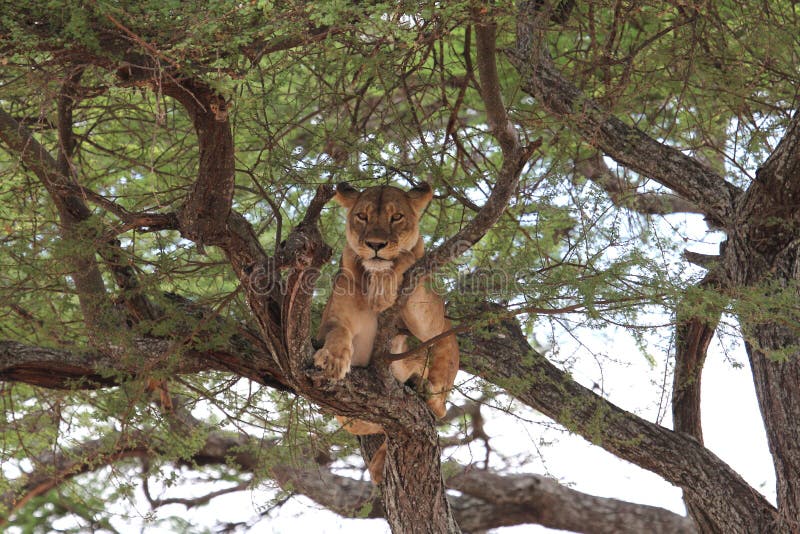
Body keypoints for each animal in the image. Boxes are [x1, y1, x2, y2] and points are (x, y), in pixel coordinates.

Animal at [313, 182, 460, 483]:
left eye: (396, 217)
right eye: (362, 216)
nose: (376, 245)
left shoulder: (430, 321)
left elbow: (406, 257)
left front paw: (383, 291)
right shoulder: (331, 322)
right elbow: (338, 333)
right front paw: (333, 359)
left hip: (447, 342)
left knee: (439, 410)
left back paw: (421, 389)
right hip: (350, 421)